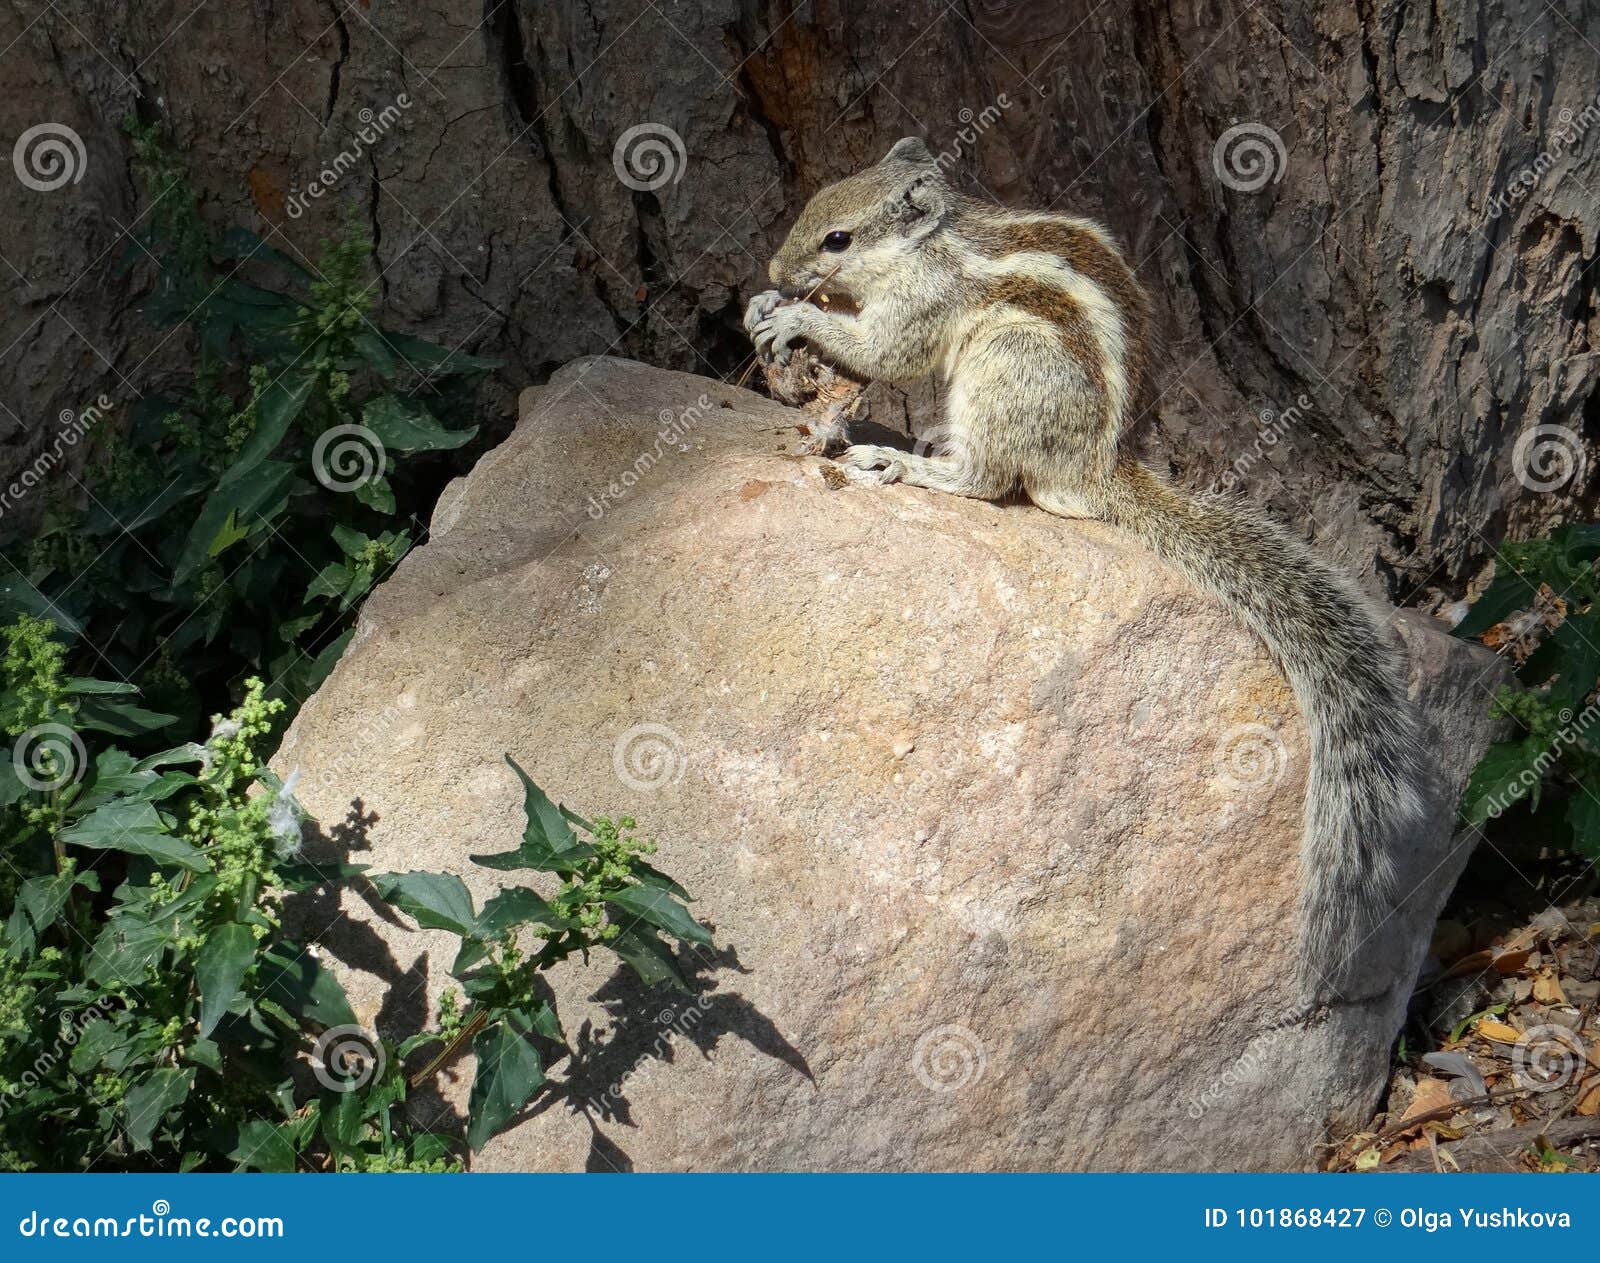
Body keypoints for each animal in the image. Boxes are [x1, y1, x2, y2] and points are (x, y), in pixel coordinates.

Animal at [744, 137, 1429, 1001]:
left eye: (838, 239)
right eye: (816, 201)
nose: (775, 264)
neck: (931, 244)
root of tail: (1097, 469)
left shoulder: (923, 309)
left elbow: (883, 350)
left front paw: (798, 314)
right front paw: (764, 305)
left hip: (1005, 366)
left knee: (987, 480)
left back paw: (905, 461)